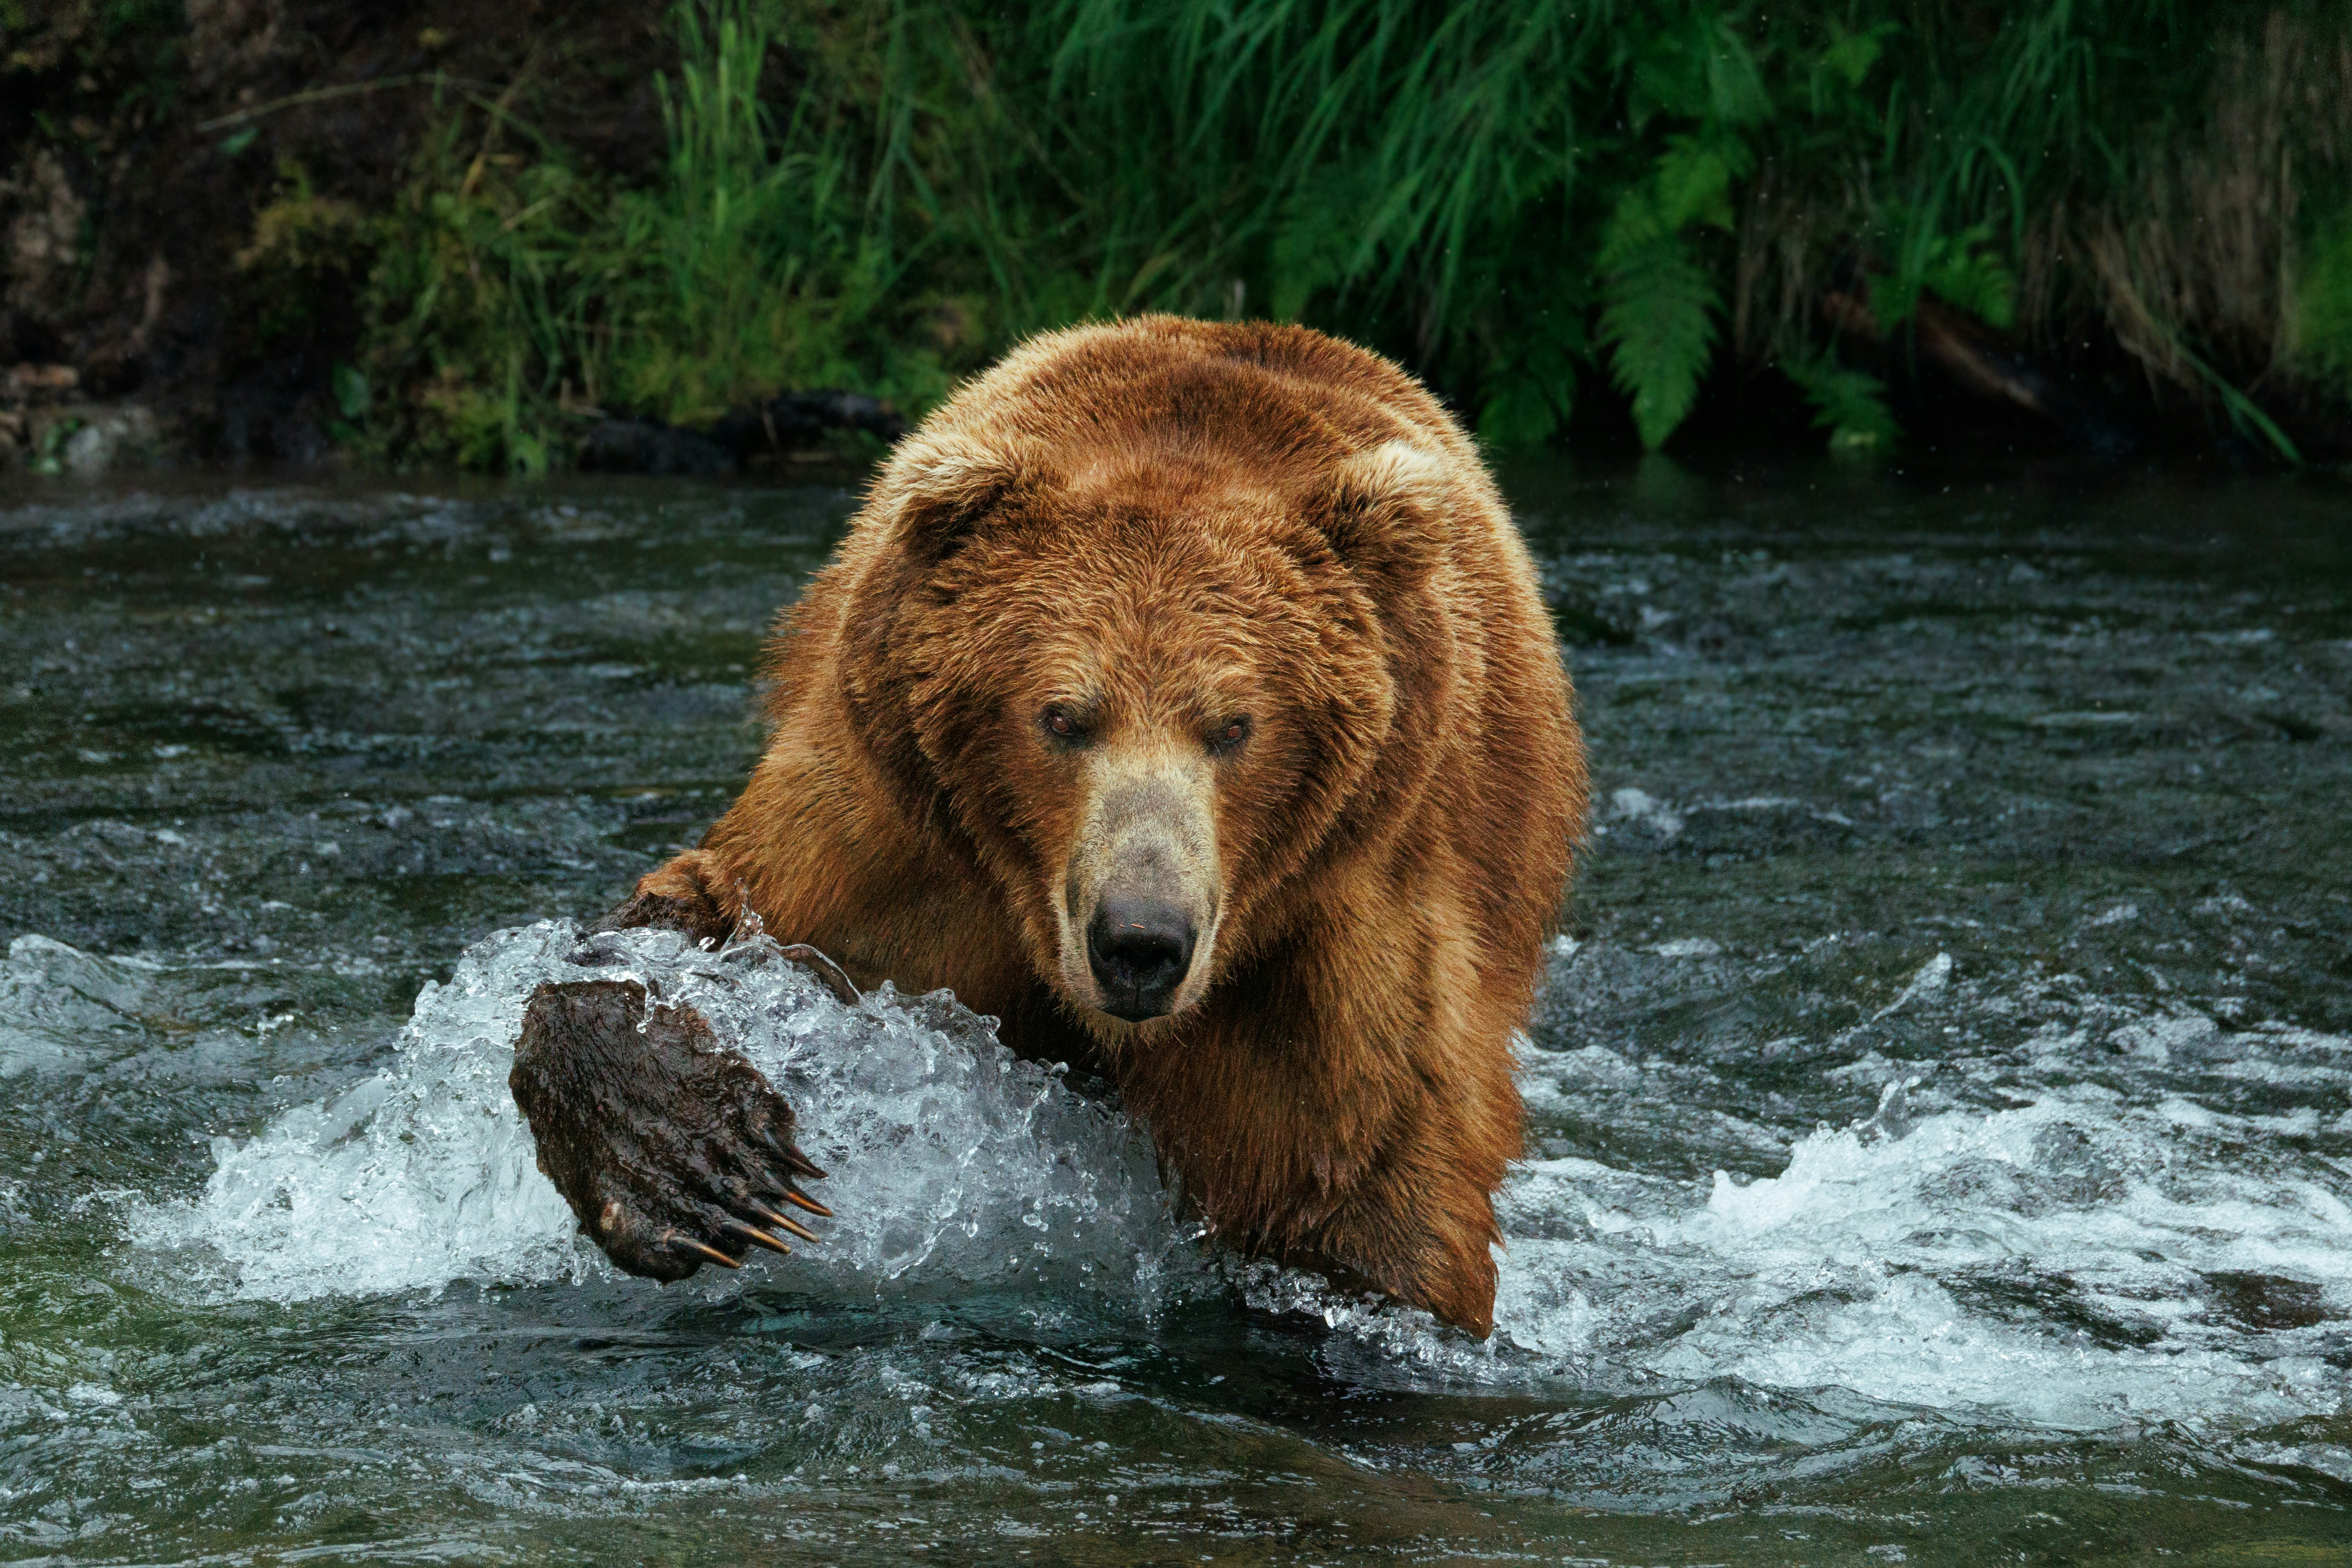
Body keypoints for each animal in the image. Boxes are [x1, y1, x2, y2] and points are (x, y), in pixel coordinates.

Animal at [509, 316, 1587, 1336]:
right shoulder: (908, 836)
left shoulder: (1332, 946)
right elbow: (712, 924)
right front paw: (703, 1164)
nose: (1141, 939)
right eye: (1063, 716)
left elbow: (1363, 1197)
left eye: (1234, 725)